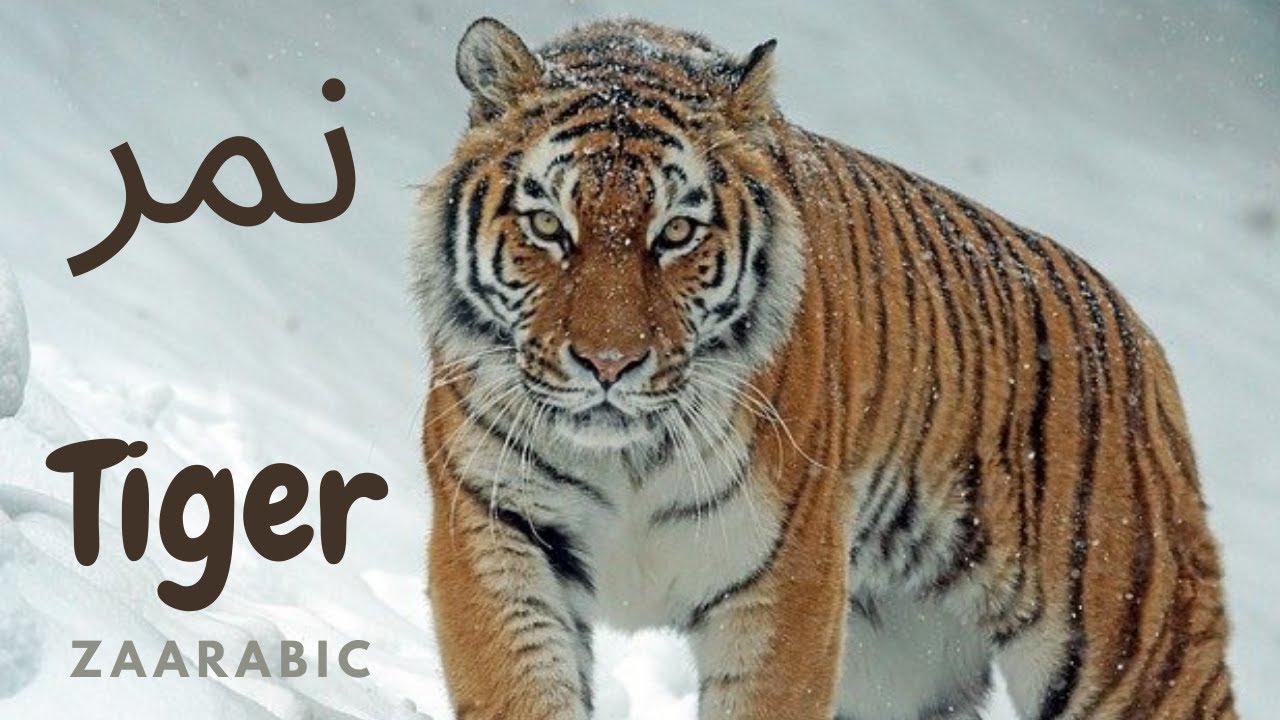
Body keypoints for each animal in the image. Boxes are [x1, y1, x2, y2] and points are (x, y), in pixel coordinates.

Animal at [411, 17, 1237, 720]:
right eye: (548, 225)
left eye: (675, 233)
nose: (608, 364)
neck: (629, 457)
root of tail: (1138, 336)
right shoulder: (496, 529)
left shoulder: (787, 581)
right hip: (898, 663)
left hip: (1134, 651)